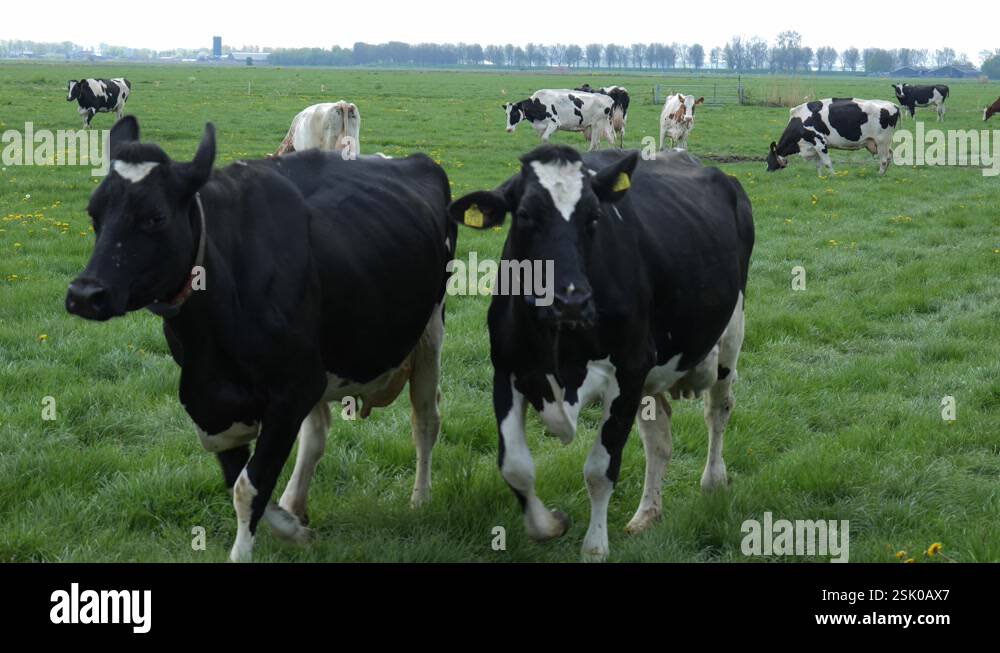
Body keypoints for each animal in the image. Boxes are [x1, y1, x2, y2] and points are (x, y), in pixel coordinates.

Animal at [66, 117, 455, 562]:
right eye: (94, 213)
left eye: (155, 217)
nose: (84, 294)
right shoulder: (214, 403)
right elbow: (244, 479)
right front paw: (292, 528)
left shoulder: (293, 387)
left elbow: (248, 487)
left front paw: (245, 551)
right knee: (316, 435)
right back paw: (295, 503)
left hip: (430, 333)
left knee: (425, 420)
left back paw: (420, 498)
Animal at [447, 144, 754, 561]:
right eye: (524, 215)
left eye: (594, 217)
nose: (571, 300)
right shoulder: (507, 369)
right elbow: (515, 467)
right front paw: (550, 525)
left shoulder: (628, 369)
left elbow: (599, 469)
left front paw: (594, 547)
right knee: (658, 436)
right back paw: (647, 512)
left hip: (730, 331)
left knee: (718, 410)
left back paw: (712, 480)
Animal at [767, 98, 901, 177]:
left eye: (768, 159)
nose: (767, 171)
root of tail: (893, 105)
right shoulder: (814, 147)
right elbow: (818, 164)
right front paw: (820, 177)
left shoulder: (820, 143)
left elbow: (827, 162)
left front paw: (833, 176)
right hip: (876, 143)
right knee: (890, 155)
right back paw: (883, 174)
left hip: (882, 141)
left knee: (884, 159)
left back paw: (879, 174)